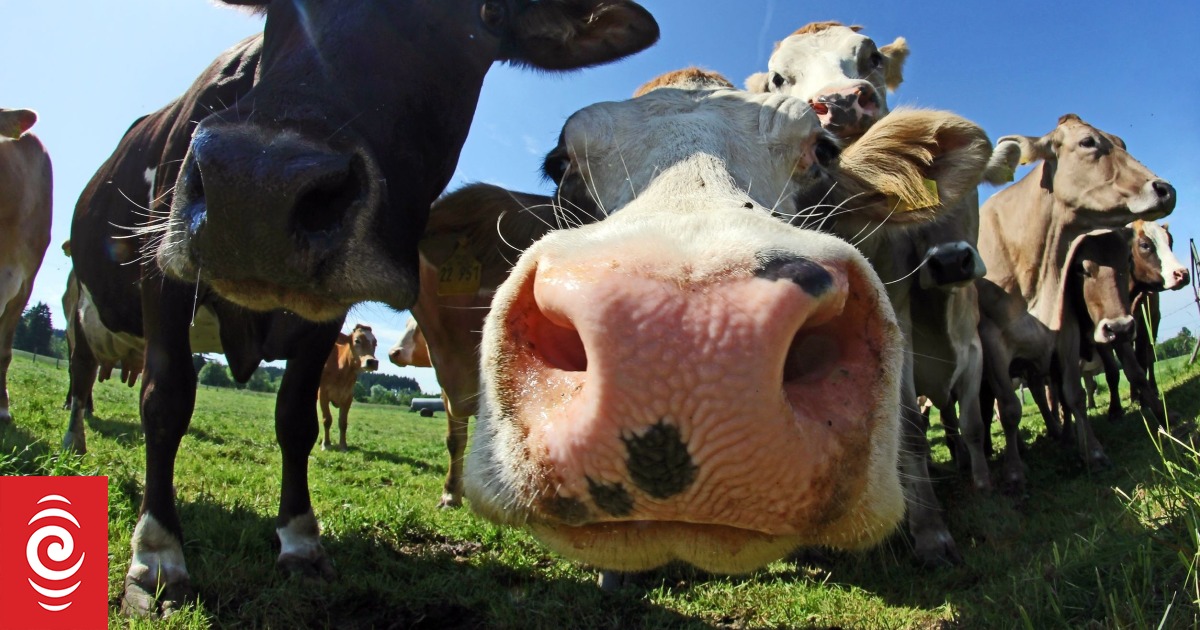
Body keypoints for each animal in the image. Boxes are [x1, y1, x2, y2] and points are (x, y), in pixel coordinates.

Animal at [65, 1, 660, 617]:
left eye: (486, 16)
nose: (256, 189)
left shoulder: (326, 317)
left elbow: (296, 419)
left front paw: (301, 543)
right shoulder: (162, 277)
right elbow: (165, 401)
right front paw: (157, 559)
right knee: (81, 373)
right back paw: (73, 442)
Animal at [976, 114, 1176, 492]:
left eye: (1123, 142)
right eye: (1088, 142)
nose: (1165, 189)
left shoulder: (1065, 330)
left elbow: (1074, 394)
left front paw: (1093, 452)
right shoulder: (991, 341)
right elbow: (1008, 409)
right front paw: (1014, 473)